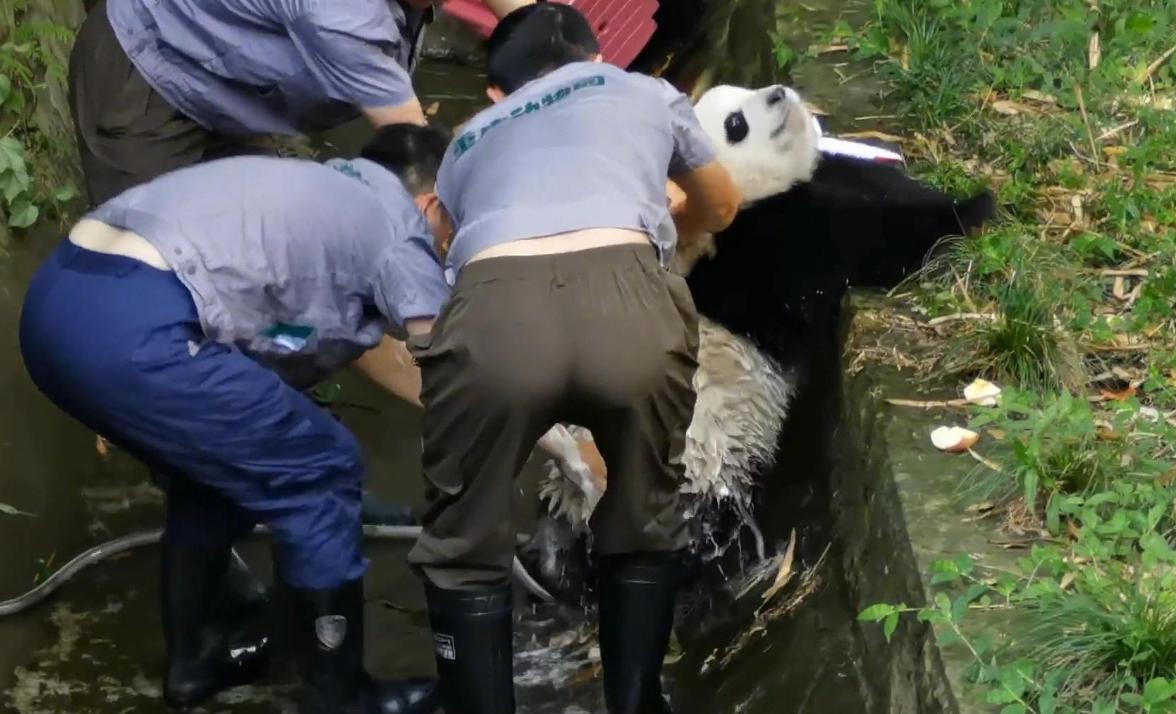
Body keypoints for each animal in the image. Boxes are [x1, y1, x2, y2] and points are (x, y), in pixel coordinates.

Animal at [518, 83, 998, 604]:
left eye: (746, 90)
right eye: (736, 124)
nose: (778, 92)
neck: (748, 196)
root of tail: (569, 507)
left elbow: (869, 185)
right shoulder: (762, 248)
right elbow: (864, 241)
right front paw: (973, 210)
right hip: (689, 467)